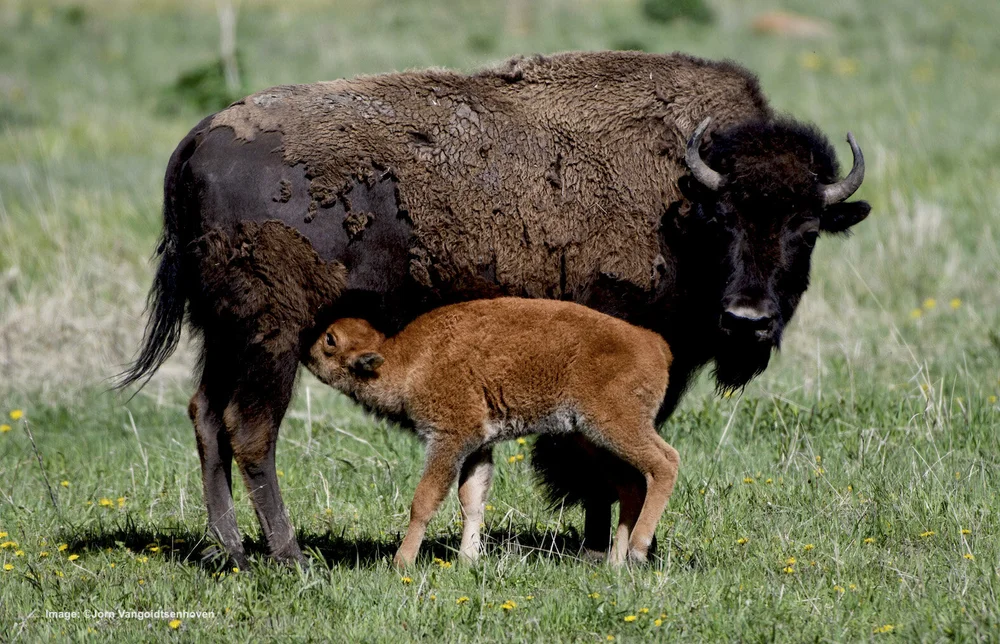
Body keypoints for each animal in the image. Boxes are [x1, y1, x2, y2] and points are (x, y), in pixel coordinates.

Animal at [120, 51, 868, 566]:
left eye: (805, 229)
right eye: (723, 221)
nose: (749, 319)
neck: (678, 198)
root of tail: (199, 140)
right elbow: (596, 463)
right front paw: (603, 549)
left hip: (224, 335)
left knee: (206, 418)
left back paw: (233, 551)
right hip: (269, 337)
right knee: (251, 432)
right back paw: (291, 557)